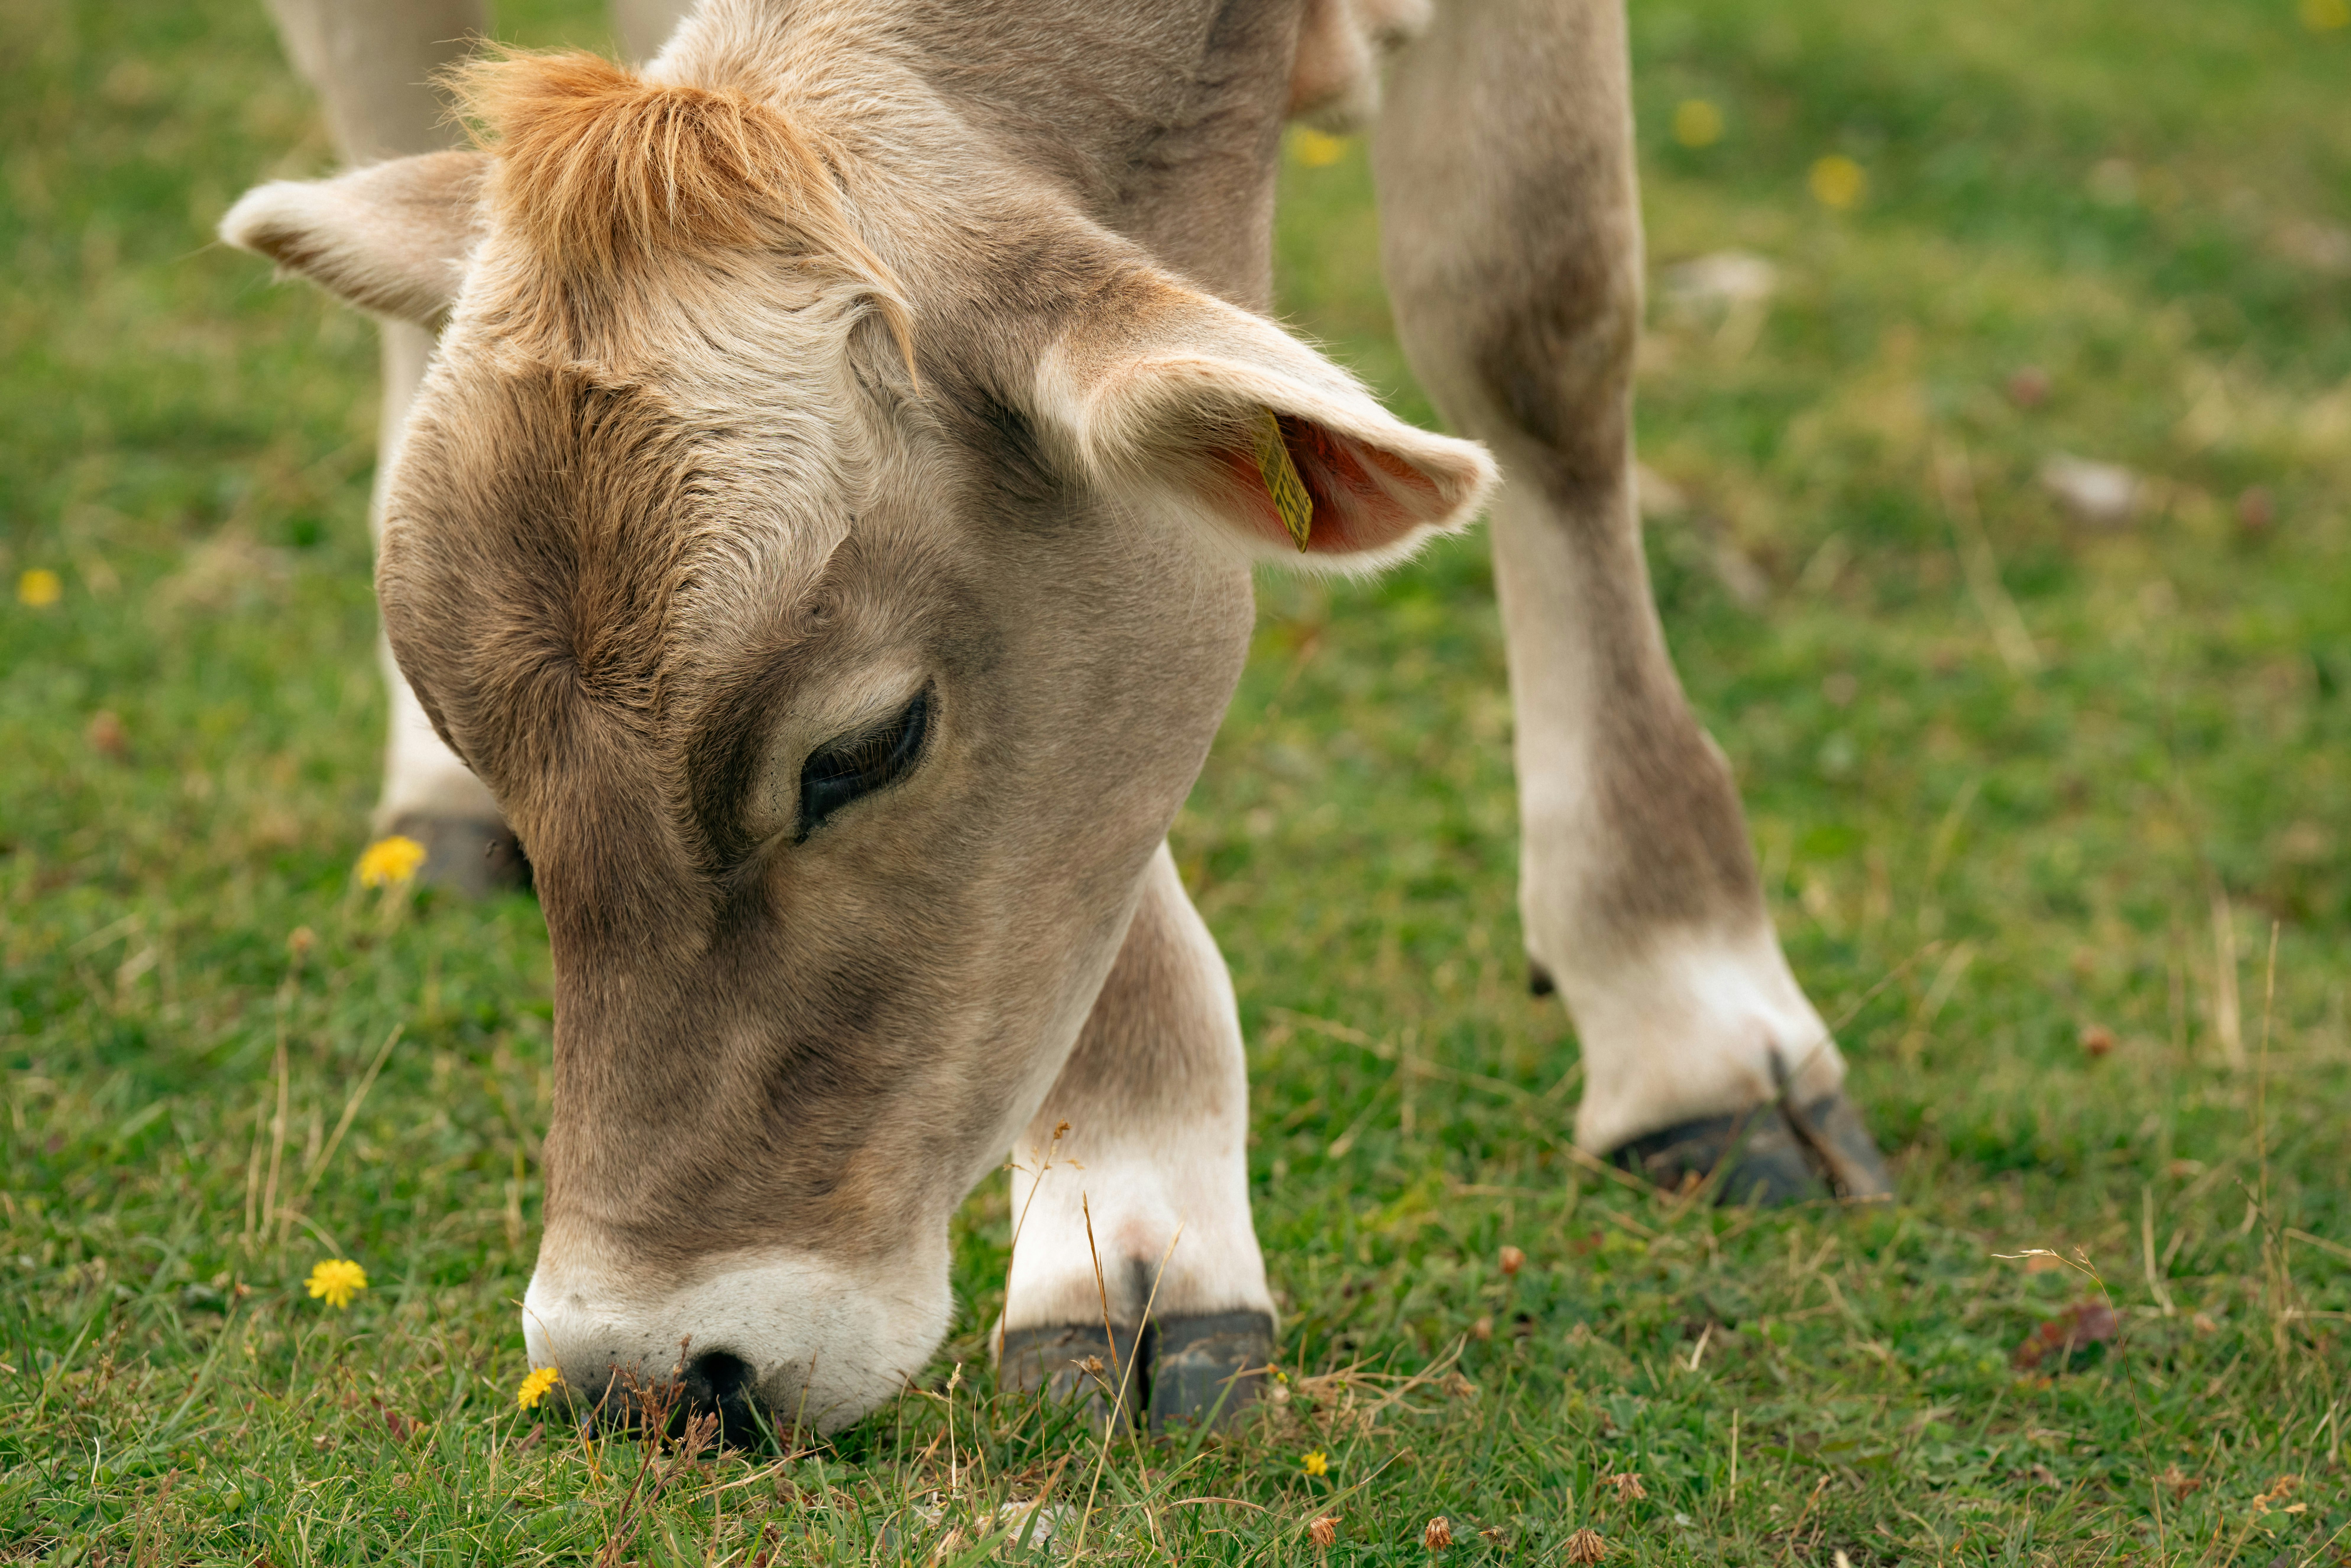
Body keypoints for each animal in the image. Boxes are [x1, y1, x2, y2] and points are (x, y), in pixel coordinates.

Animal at [223, 0, 1893, 1437]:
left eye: (863, 749)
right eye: (477, 724)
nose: (642, 1371)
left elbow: (1535, 307)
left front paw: (1686, 998)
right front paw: (1133, 1213)